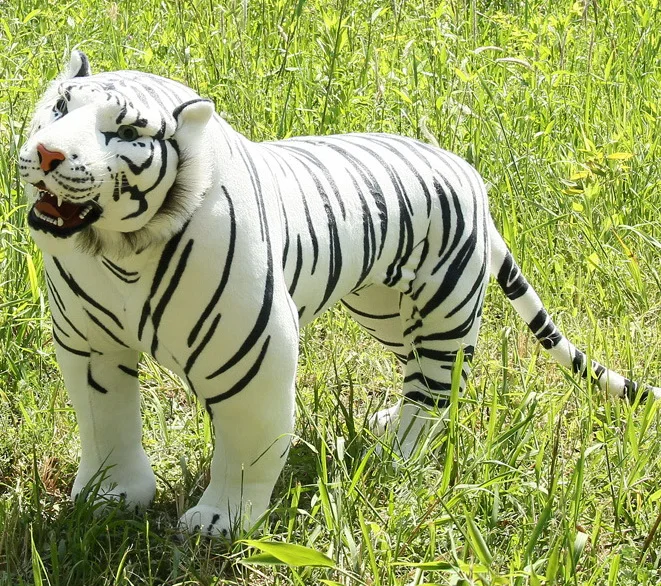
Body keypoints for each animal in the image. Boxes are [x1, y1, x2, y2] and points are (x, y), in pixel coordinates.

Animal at [18, 51, 660, 538]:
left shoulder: (250, 357)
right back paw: (390, 426)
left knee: (437, 385)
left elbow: (247, 445)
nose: (48, 153)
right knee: (421, 376)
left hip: (444, 308)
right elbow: (105, 424)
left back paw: (402, 453)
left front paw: (221, 522)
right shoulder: (90, 346)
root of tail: (470, 175)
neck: (120, 250)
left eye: (124, 132)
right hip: (384, 309)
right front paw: (110, 496)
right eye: (61, 107)